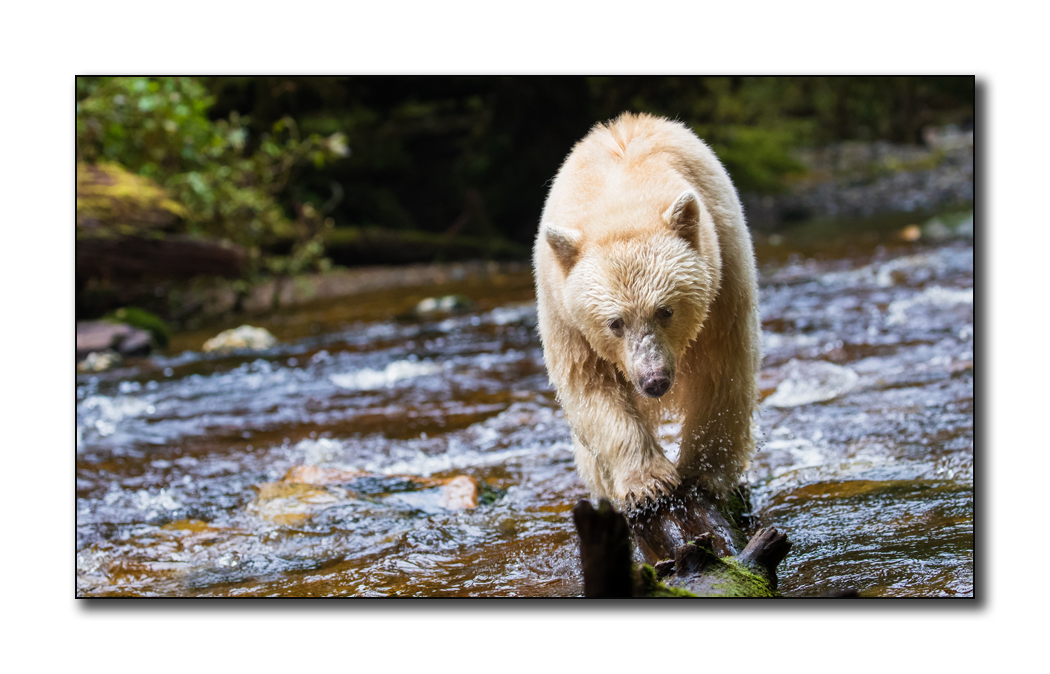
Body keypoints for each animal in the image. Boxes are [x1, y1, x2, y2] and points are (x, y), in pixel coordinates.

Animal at [533, 112, 760, 511]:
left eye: (665, 311)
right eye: (615, 323)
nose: (654, 380)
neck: (620, 193)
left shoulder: (724, 280)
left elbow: (722, 372)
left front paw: (705, 474)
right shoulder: (563, 313)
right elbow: (591, 387)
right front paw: (649, 484)